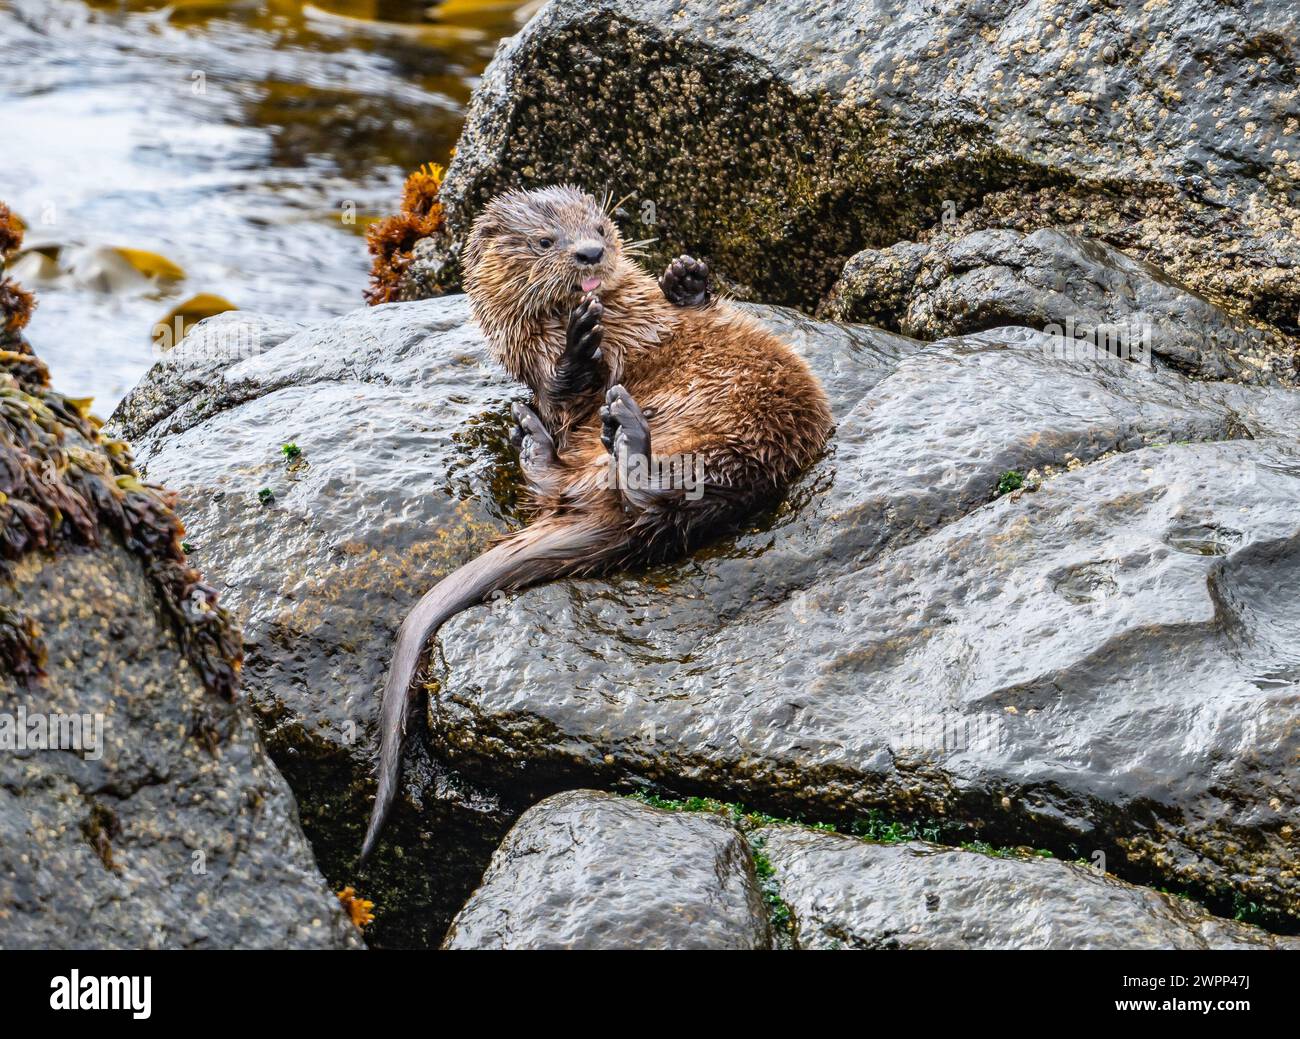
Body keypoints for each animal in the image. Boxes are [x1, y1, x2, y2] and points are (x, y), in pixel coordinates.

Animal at [360, 185, 832, 861]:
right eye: (544, 241)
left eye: (602, 227)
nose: (589, 252)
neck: (622, 334)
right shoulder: (545, 378)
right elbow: (561, 392)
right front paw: (574, 357)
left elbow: (695, 309)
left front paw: (686, 277)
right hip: (734, 451)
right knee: (644, 494)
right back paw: (604, 434)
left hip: (761, 426)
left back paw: (570, 437)